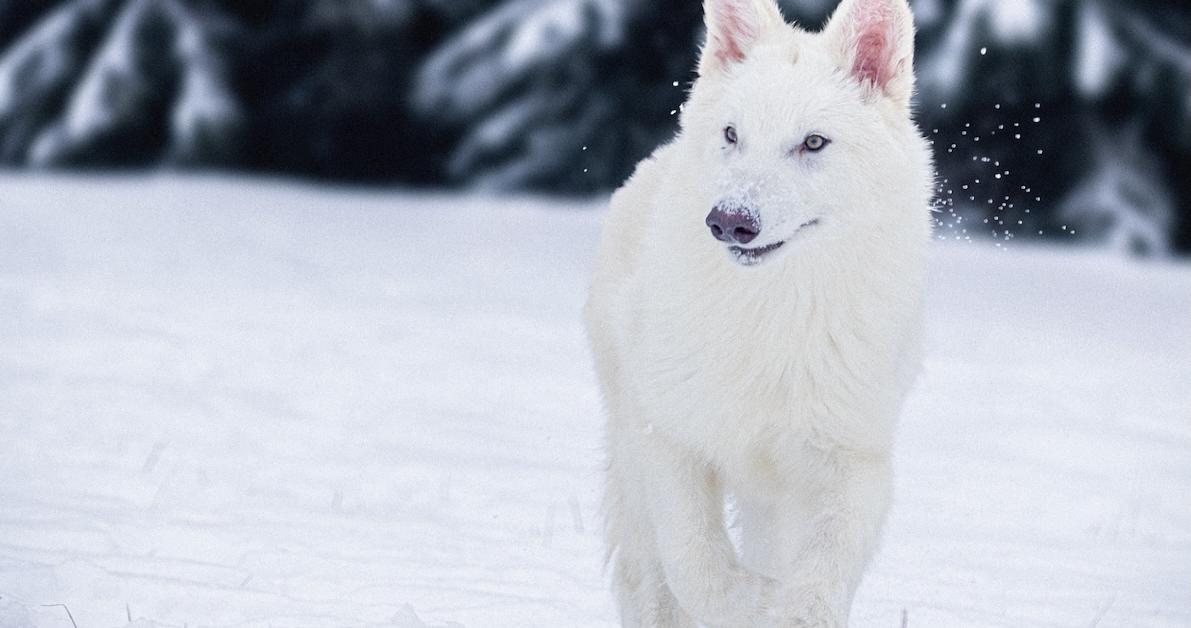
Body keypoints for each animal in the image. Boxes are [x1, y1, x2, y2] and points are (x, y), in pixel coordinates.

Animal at [583, 0, 933, 625]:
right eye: (732, 135)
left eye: (813, 143)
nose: (729, 221)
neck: (775, 314)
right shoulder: (669, 441)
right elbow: (701, 569)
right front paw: (760, 600)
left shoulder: (854, 464)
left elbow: (818, 587)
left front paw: (788, 604)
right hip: (631, 448)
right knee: (650, 577)